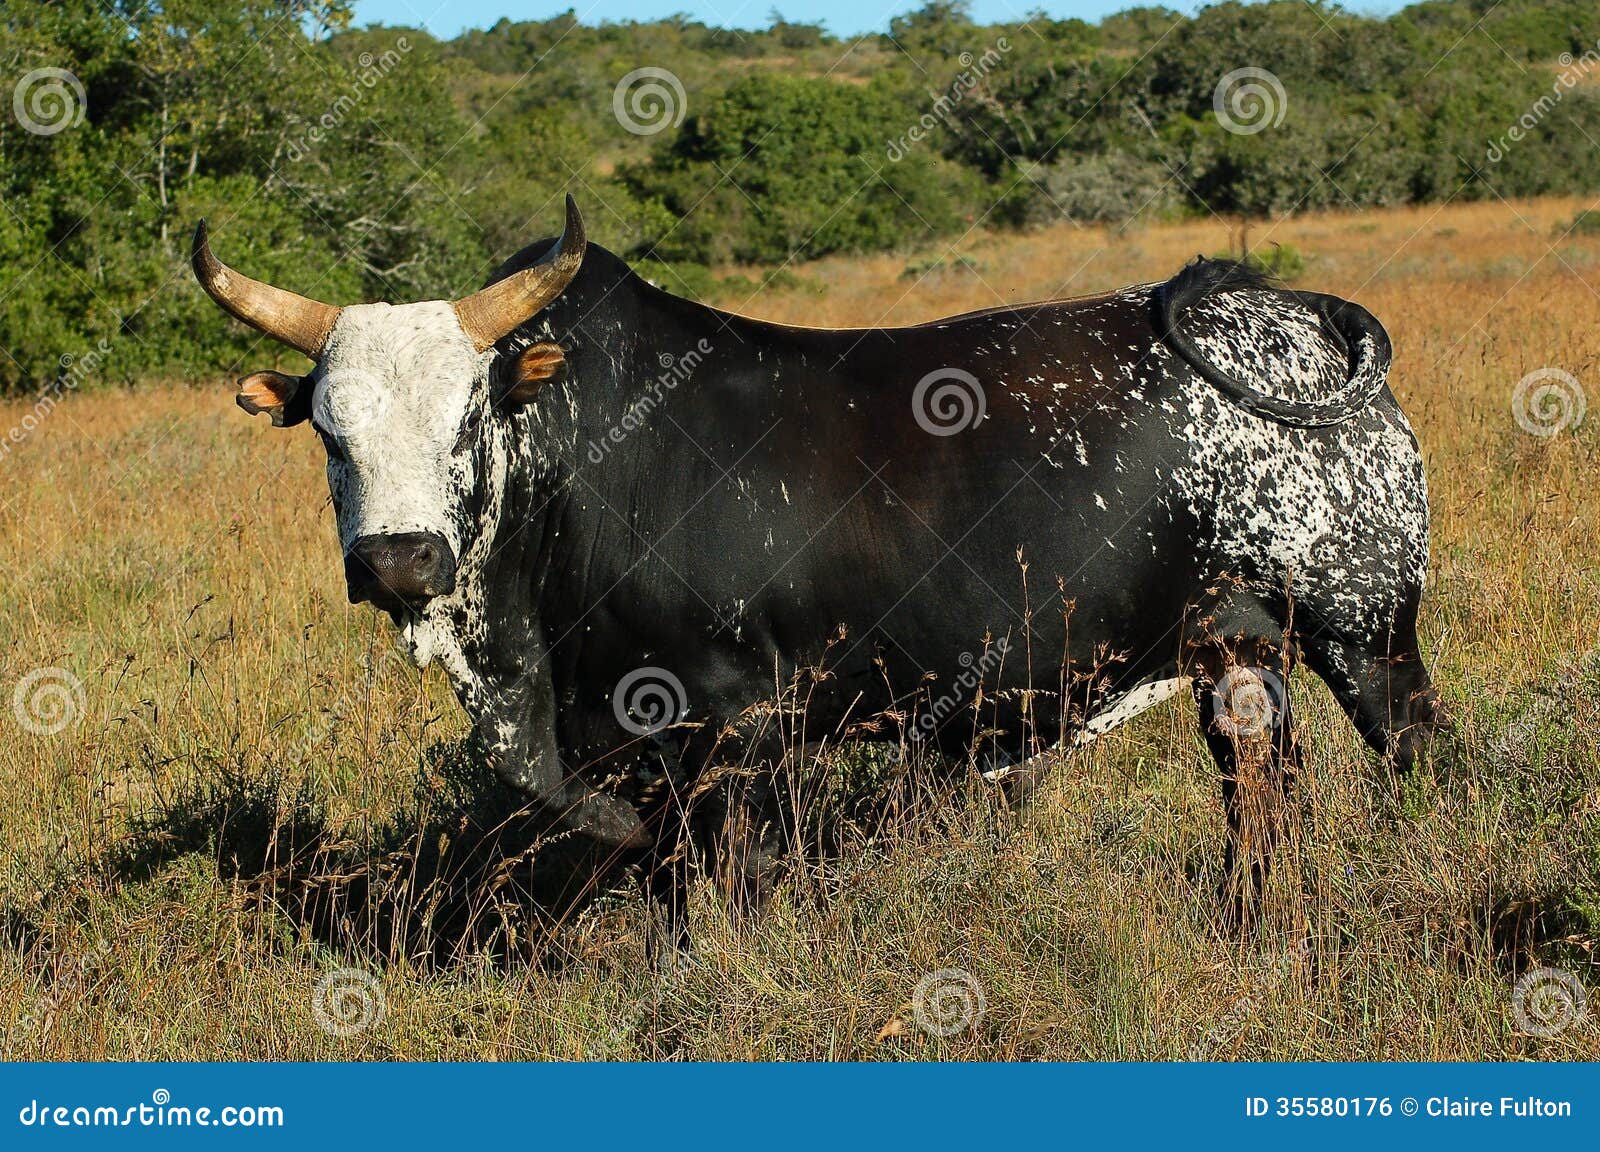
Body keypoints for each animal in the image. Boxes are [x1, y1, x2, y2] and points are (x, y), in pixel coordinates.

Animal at [192, 196, 1445, 940]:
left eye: (467, 418)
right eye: (328, 431)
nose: (399, 559)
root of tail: (1283, 308)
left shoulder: (732, 727)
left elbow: (720, 897)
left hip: (1368, 635)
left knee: (1413, 757)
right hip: (1239, 647)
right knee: (1260, 786)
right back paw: (1254, 914)